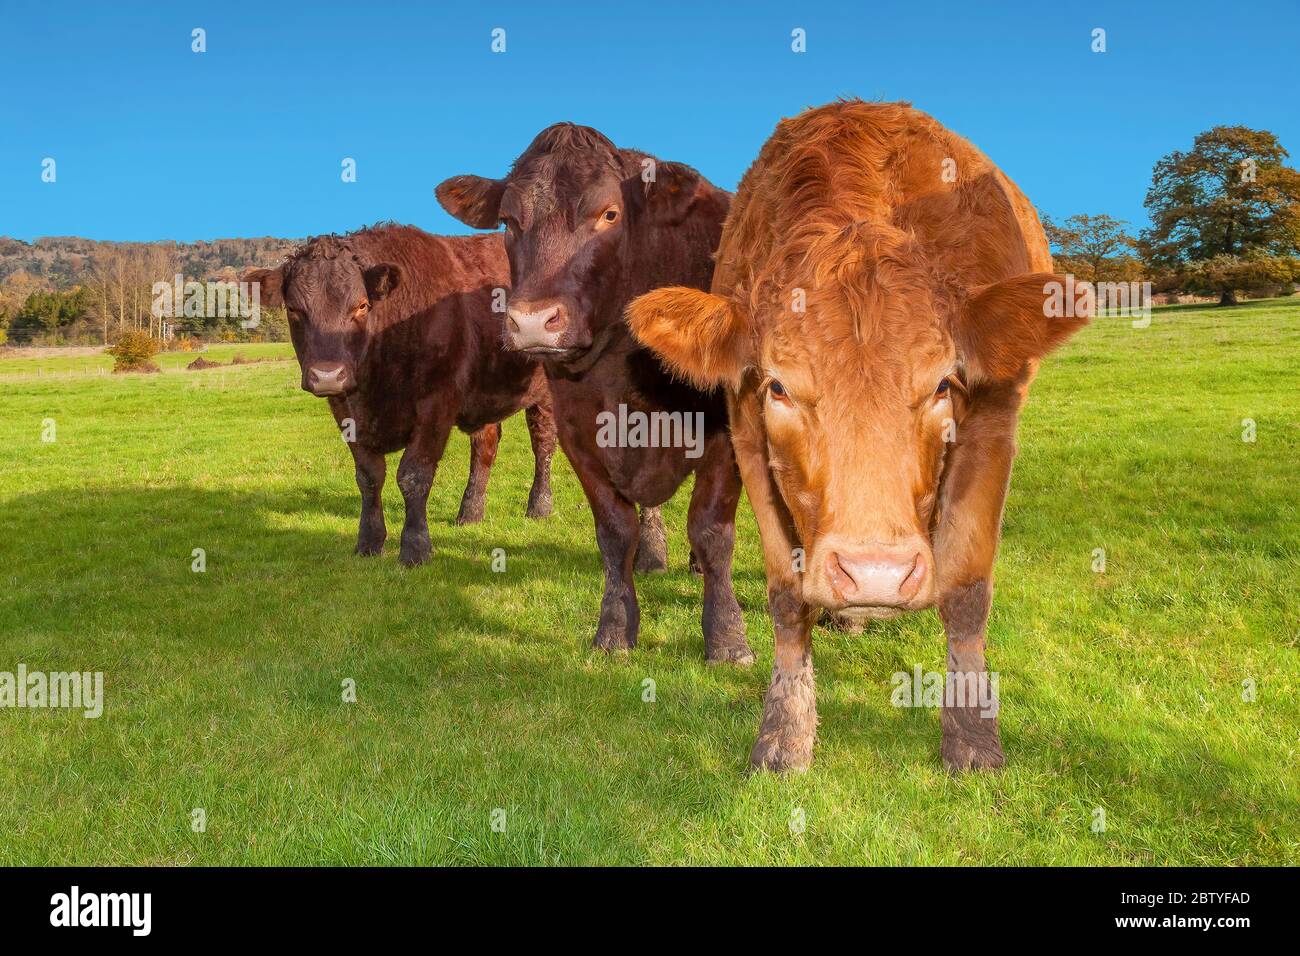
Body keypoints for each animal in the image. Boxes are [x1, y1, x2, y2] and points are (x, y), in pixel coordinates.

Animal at [243, 223, 556, 566]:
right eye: (294, 310)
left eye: (361, 306)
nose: (327, 374)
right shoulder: (345, 409)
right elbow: (368, 476)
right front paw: (369, 542)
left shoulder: (436, 404)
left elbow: (414, 475)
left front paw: (415, 549)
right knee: (485, 446)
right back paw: (470, 513)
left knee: (543, 443)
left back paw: (539, 506)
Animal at [435, 124, 754, 664]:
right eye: (508, 221)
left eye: (609, 214)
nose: (531, 321)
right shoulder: (580, 434)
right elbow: (614, 533)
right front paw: (615, 630)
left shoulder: (725, 435)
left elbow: (712, 530)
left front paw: (728, 638)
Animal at [627, 101, 1091, 772]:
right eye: (780, 387)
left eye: (943, 383)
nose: (876, 574)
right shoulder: (744, 426)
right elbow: (786, 594)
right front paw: (785, 734)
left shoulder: (995, 418)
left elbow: (967, 590)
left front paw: (973, 741)